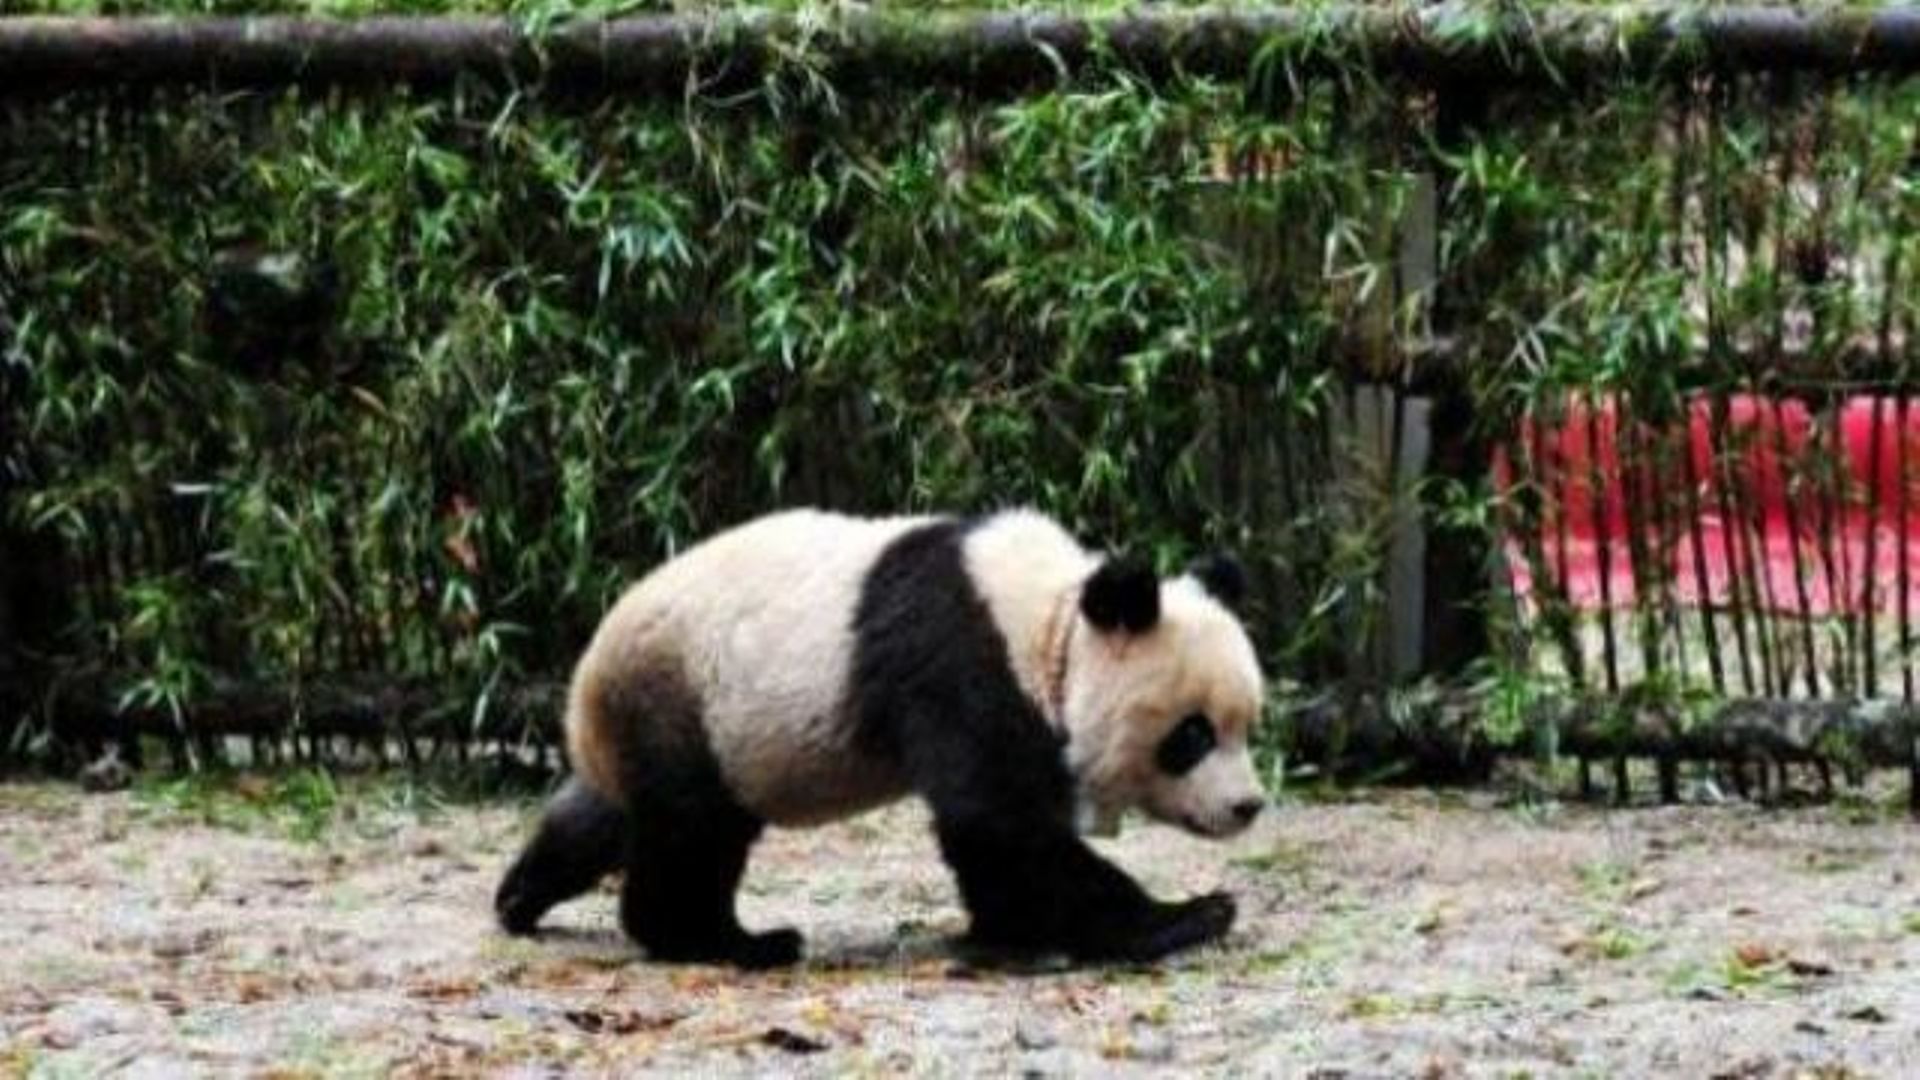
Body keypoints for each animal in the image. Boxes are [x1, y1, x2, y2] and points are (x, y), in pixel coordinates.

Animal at [494, 507, 1268, 969]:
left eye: (1247, 725)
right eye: (1192, 735)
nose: (1248, 807)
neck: (1050, 620)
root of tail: (583, 690)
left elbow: (1000, 833)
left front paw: (1006, 931)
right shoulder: (955, 656)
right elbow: (994, 820)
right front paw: (1189, 916)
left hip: (653, 725)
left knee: (607, 815)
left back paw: (520, 897)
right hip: (687, 704)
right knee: (695, 831)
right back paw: (732, 941)